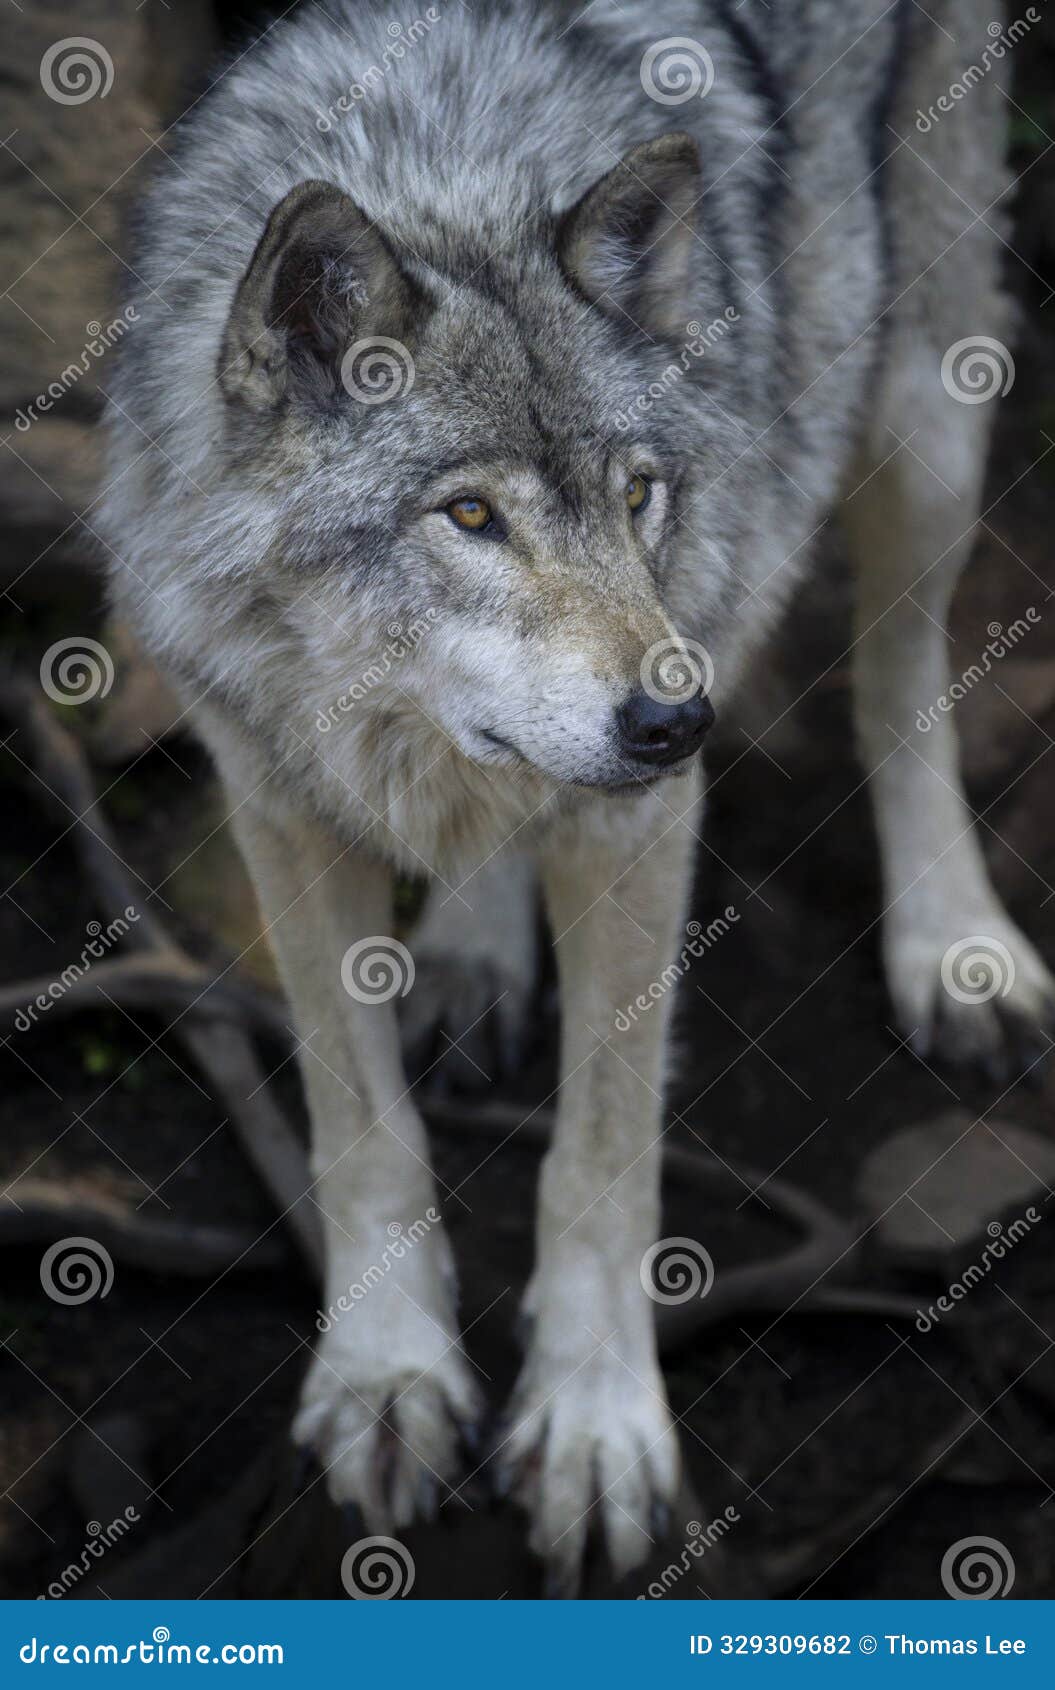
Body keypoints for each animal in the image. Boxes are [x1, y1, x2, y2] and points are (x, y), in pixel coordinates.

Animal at [101, 0, 1053, 1589]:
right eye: (471, 515)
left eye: (636, 495)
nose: (678, 716)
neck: (450, 178)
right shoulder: (273, 791)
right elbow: (358, 1127)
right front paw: (386, 1373)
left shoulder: (637, 821)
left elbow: (600, 1158)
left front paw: (595, 1426)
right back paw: (475, 951)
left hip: (927, 405)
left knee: (899, 681)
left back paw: (952, 948)